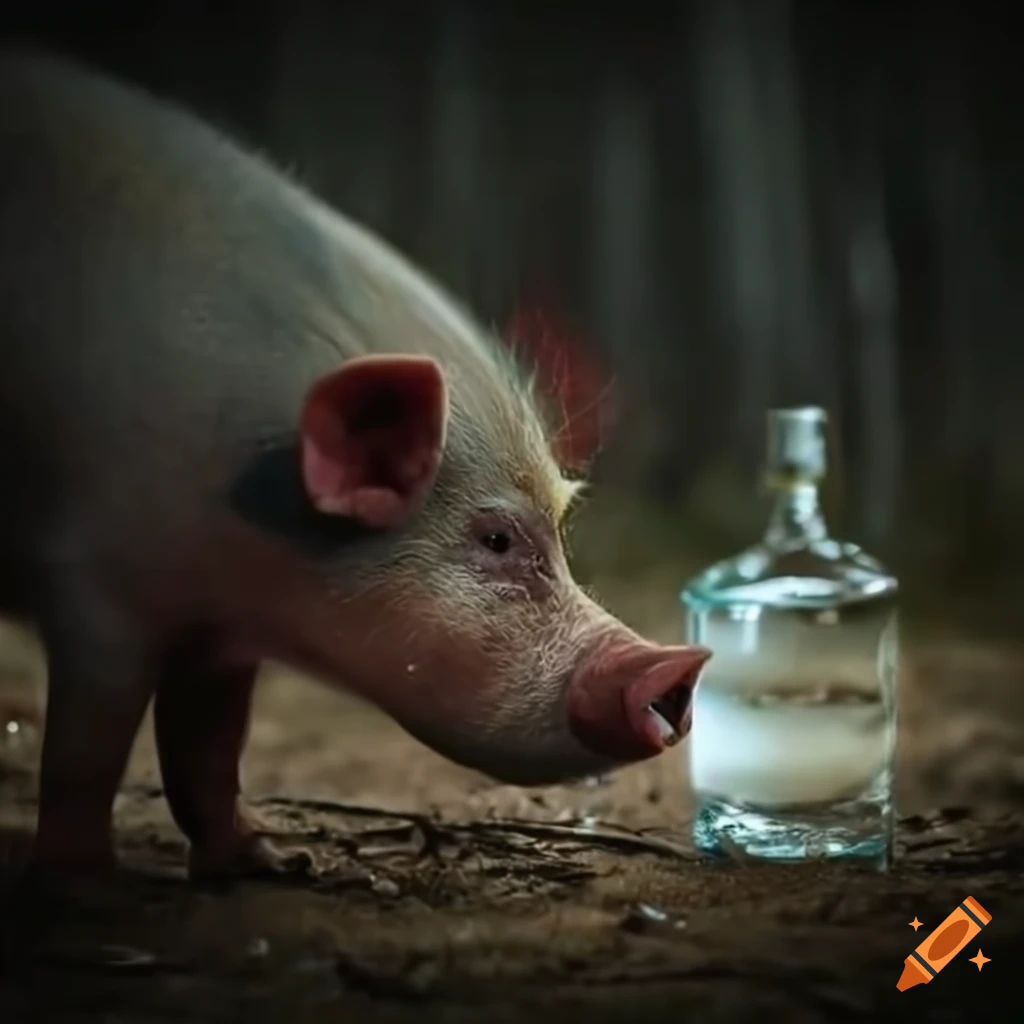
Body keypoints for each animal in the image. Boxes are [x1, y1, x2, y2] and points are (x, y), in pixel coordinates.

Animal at [0, 50, 709, 881]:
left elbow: (208, 746)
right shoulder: (97, 586)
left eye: (561, 532)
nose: (679, 664)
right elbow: (89, 747)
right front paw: (83, 882)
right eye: (497, 539)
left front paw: (277, 862)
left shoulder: (219, 636)